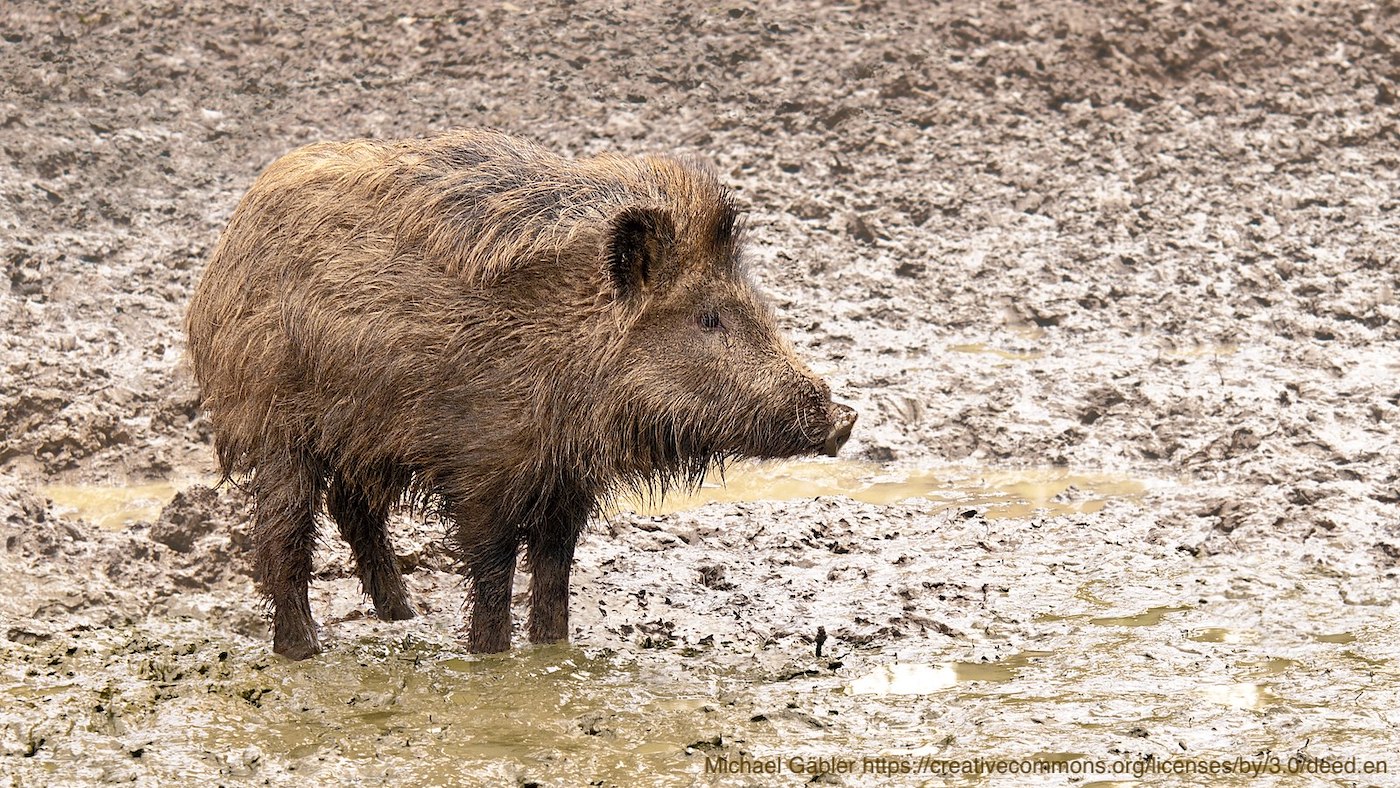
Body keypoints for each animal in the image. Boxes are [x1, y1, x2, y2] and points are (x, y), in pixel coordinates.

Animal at [185, 129, 856, 659]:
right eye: (709, 318)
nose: (842, 416)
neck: (570, 343)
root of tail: (226, 249)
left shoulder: (565, 483)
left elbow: (555, 570)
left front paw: (554, 651)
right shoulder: (484, 468)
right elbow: (492, 570)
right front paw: (492, 660)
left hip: (362, 437)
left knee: (353, 510)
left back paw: (404, 616)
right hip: (277, 426)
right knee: (284, 535)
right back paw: (303, 652)